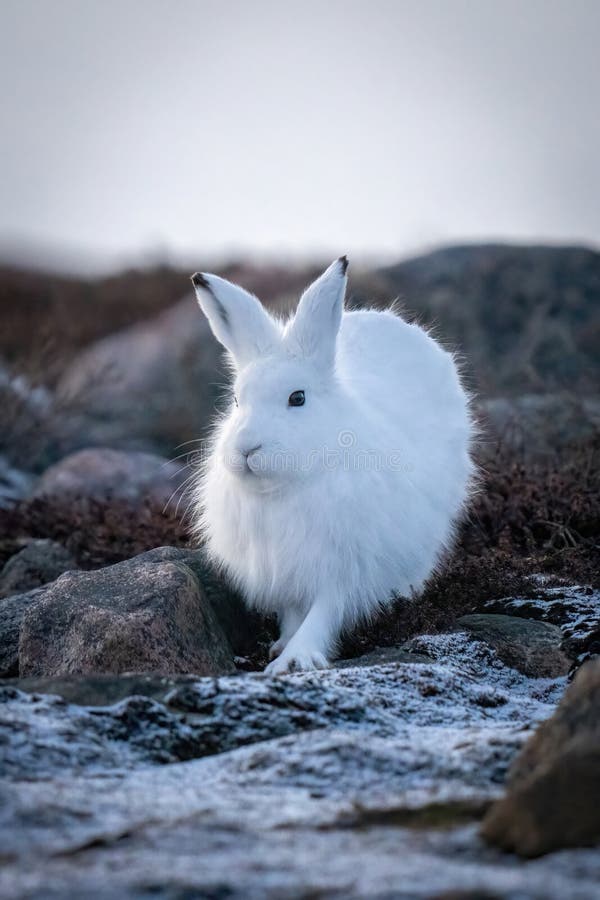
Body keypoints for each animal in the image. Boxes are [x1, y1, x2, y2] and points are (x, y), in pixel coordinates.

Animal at [191, 257, 475, 675]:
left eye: (297, 398)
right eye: (237, 401)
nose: (246, 449)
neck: (284, 488)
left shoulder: (344, 565)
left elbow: (324, 611)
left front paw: (295, 659)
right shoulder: (284, 570)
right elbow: (294, 612)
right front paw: (282, 645)